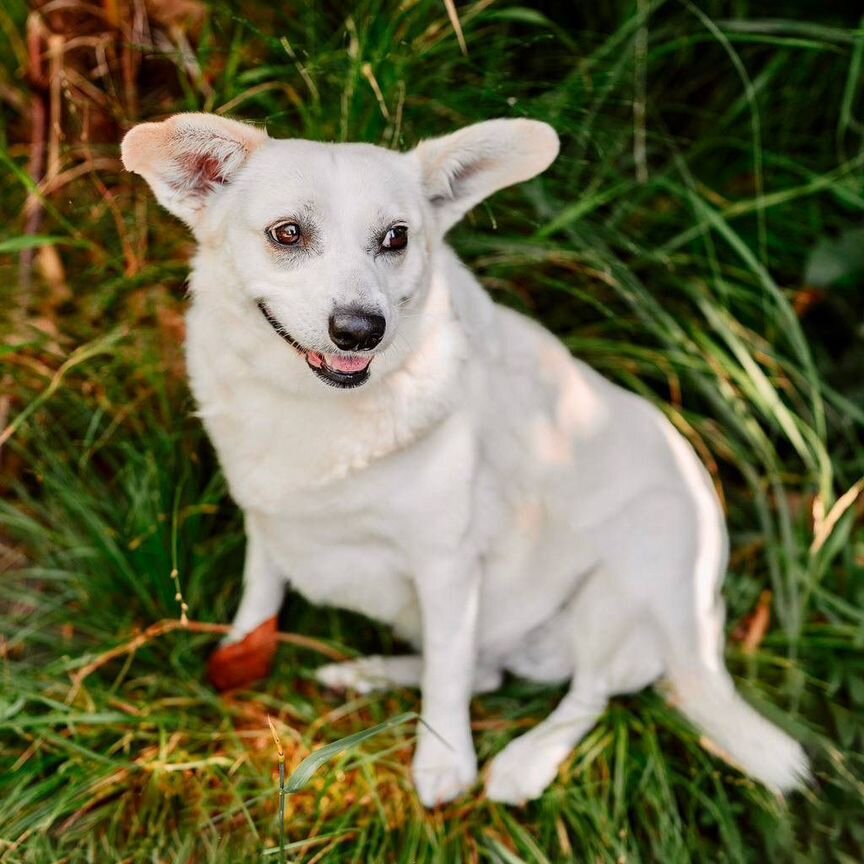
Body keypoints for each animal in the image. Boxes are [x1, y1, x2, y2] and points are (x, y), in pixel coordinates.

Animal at [123, 113, 808, 804]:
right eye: (287, 233)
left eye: (396, 237)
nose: (361, 329)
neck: (314, 406)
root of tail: (706, 631)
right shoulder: (267, 520)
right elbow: (260, 597)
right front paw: (239, 652)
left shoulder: (448, 565)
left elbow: (449, 674)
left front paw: (445, 760)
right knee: (488, 675)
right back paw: (369, 673)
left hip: (633, 573)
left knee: (582, 694)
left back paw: (524, 762)